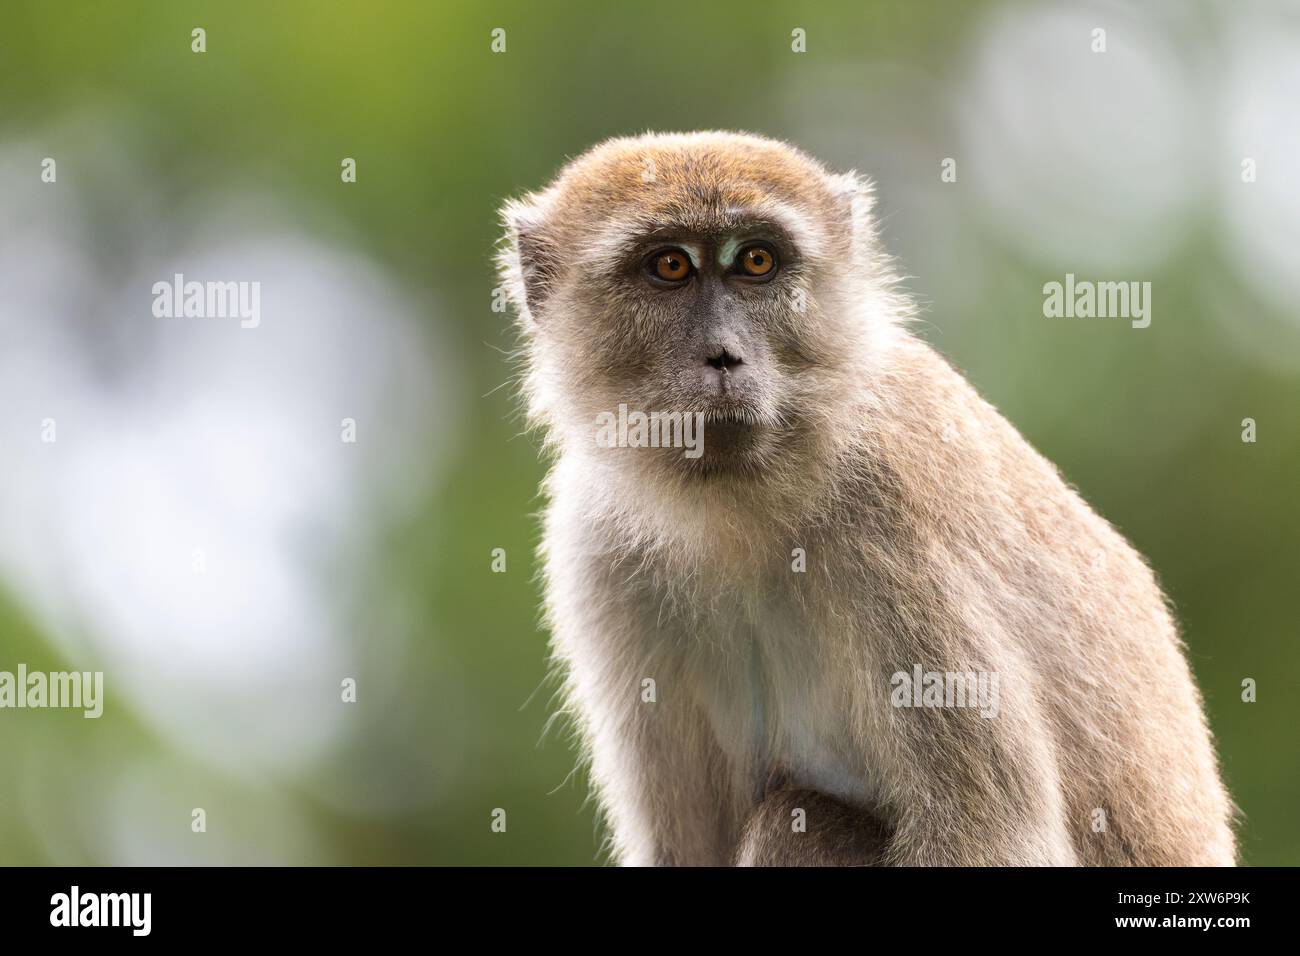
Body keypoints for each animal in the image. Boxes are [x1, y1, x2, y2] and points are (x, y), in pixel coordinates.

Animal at [497, 130, 1236, 866]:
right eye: (670, 267)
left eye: (756, 262)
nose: (725, 355)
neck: (742, 506)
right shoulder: (595, 545)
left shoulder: (890, 507)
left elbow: (993, 834)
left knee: (793, 820)